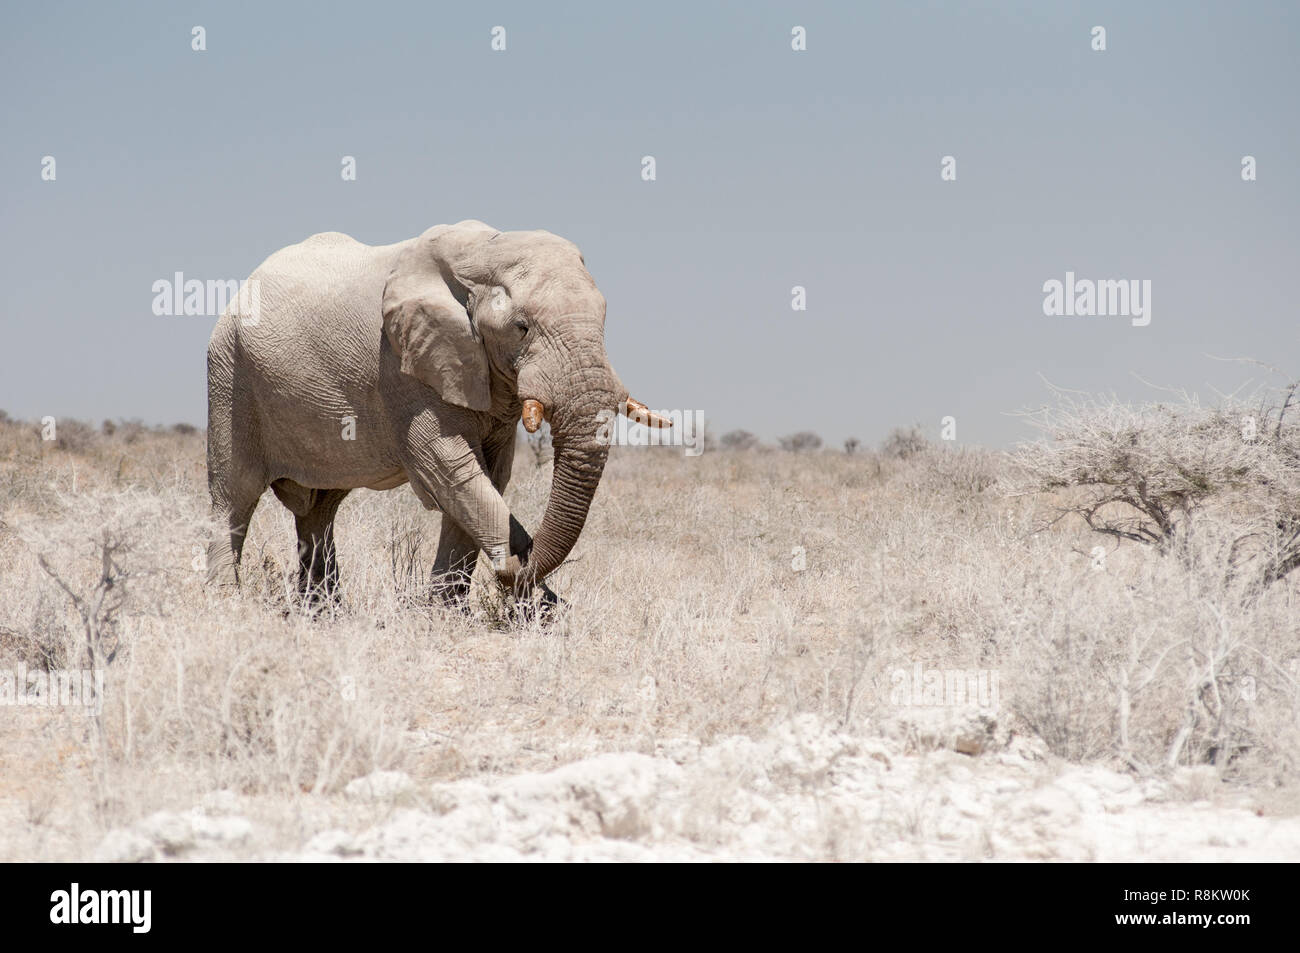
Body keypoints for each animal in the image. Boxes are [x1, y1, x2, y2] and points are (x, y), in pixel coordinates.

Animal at [205, 220, 669, 609]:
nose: (516, 571)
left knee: (319, 509)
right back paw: (227, 602)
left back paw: (324, 612)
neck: (485, 251)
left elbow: (490, 476)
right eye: (521, 327)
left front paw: (452, 610)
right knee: (234, 495)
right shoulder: (403, 365)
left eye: (604, 319)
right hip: (229, 375)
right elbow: (452, 470)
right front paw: (524, 594)